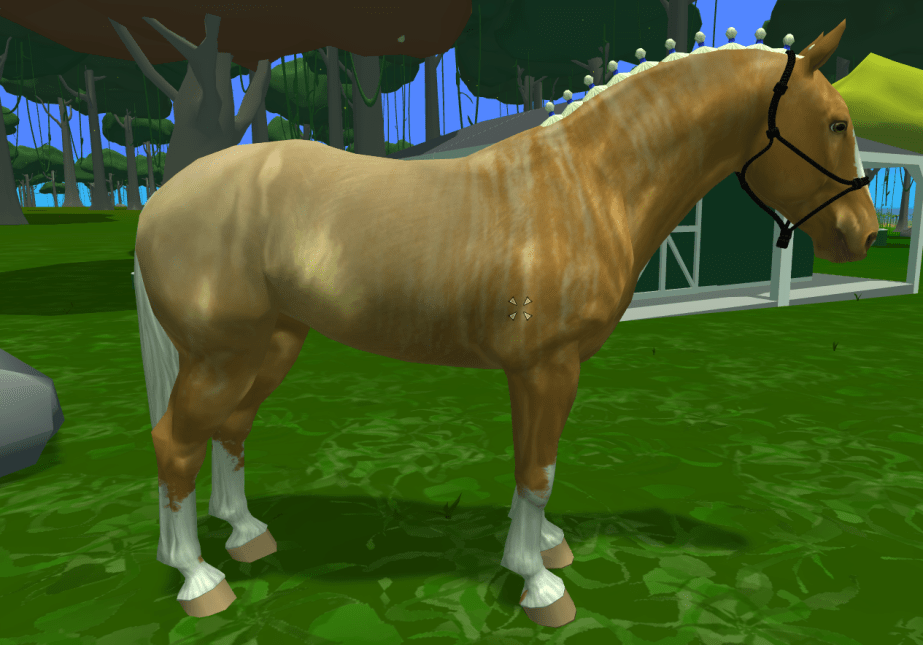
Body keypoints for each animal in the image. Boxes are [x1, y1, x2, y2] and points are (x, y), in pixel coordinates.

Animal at [133, 19, 877, 628]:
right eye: (836, 124)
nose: (863, 235)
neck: (589, 186)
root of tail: (164, 196)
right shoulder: (546, 366)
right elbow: (537, 470)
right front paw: (539, 584)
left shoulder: (540, 371)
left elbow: (535, 469)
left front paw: (544, 548)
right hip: (220, 356)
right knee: (175, 442)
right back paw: (199, 579)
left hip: (272, 346)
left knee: (230, 430)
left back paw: (245, 534)